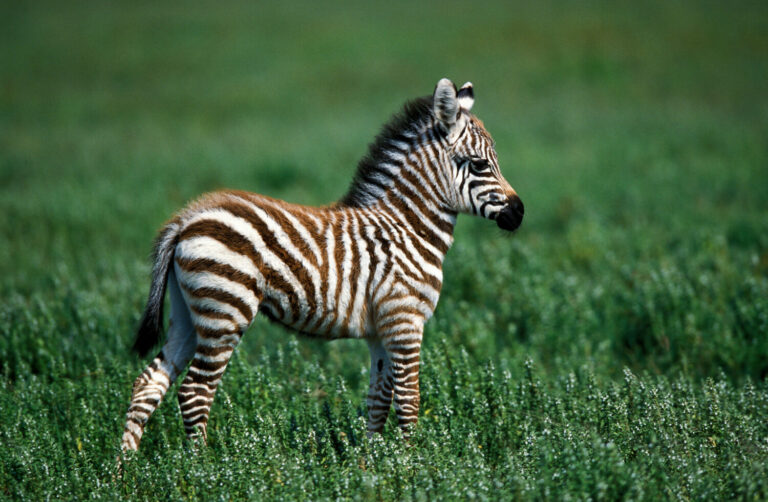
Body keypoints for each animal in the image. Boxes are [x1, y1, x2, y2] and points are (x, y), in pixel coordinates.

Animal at [121, 78, 524, 451]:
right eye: (479, 164)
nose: (519, 213)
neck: (407, 227)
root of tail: (186, 218)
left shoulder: (381, 330)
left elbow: (379, 401)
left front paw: (376, 463)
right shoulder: (405, 320)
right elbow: (409, 401)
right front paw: (415, 467)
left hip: (188, 312)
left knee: (149, 383)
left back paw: (129, 469)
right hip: (226, 310)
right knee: (194, 392)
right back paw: (202, 468)